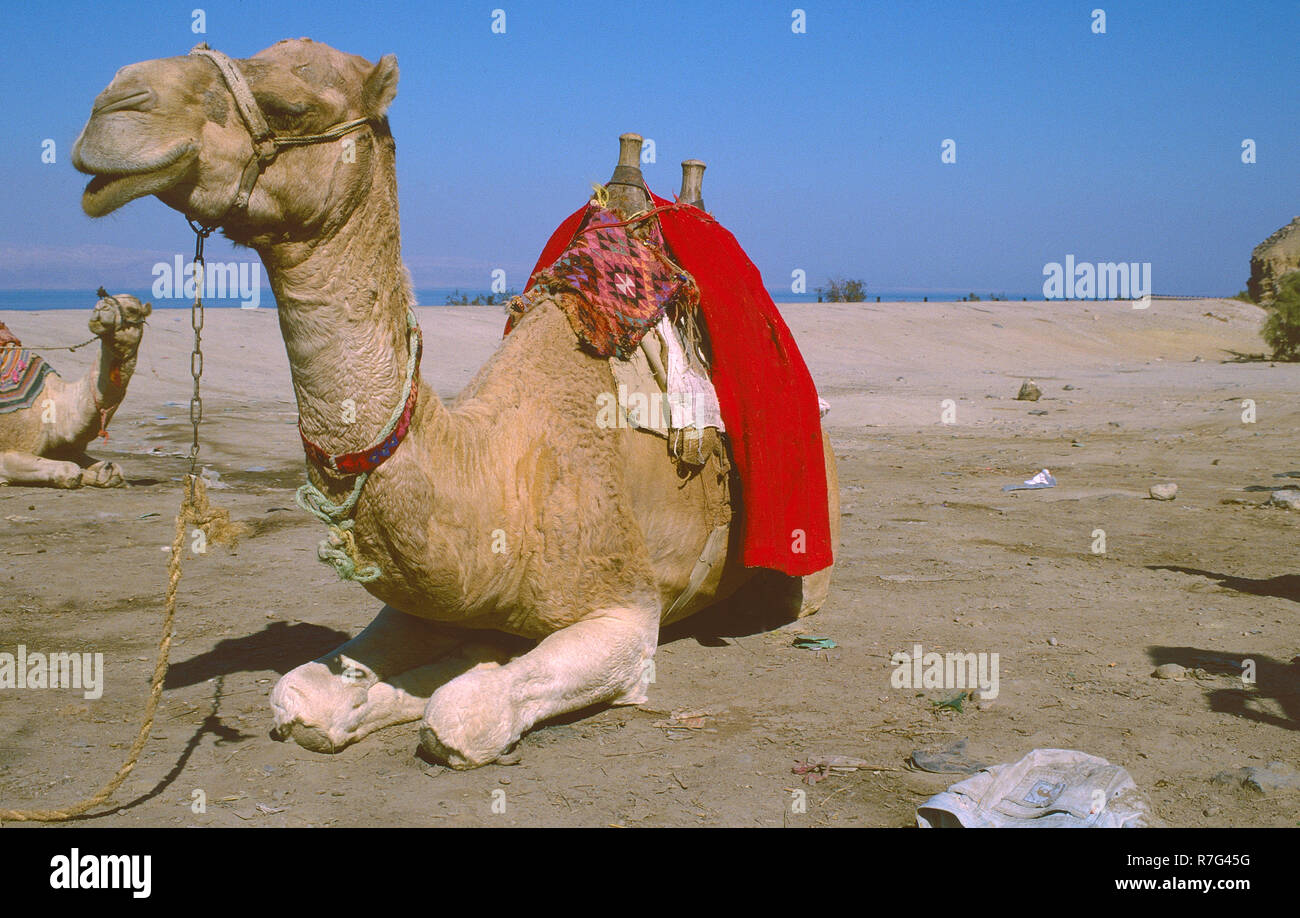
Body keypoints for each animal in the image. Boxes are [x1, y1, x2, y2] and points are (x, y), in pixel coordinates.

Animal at [0, 292, 150, 488]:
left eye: (133, 309)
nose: (101, 307)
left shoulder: (68, 448)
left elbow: (113, 469)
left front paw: (102, 473)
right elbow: (70, 470)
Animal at [72, 39, 839, 768]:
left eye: (294, 107)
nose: (114, 103)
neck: (497, 473)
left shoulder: (627, 614)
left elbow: (463, 707)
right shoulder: (423, 597)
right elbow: (302, 692)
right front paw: (366, 695)